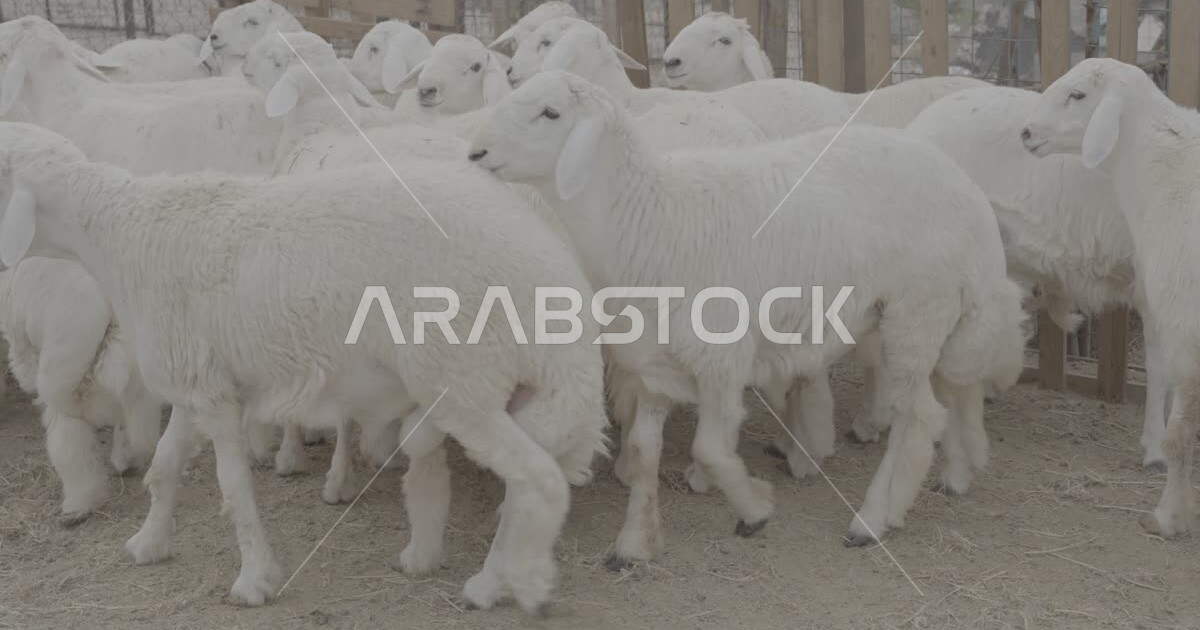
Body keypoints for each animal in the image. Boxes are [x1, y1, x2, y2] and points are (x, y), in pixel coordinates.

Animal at [469, 71, 1027, 565]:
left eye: (550, 112)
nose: (474, 153)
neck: (649, 218)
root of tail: (965, 189)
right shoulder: (654, 367)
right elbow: (646, 455)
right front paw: (633, 544)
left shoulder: (721, 360)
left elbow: (712, 449)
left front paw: (755, 510)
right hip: (934, 315)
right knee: (956, 386)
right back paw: (956, 472)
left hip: (918, 309)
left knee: (920, 415)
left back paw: (871, 519)